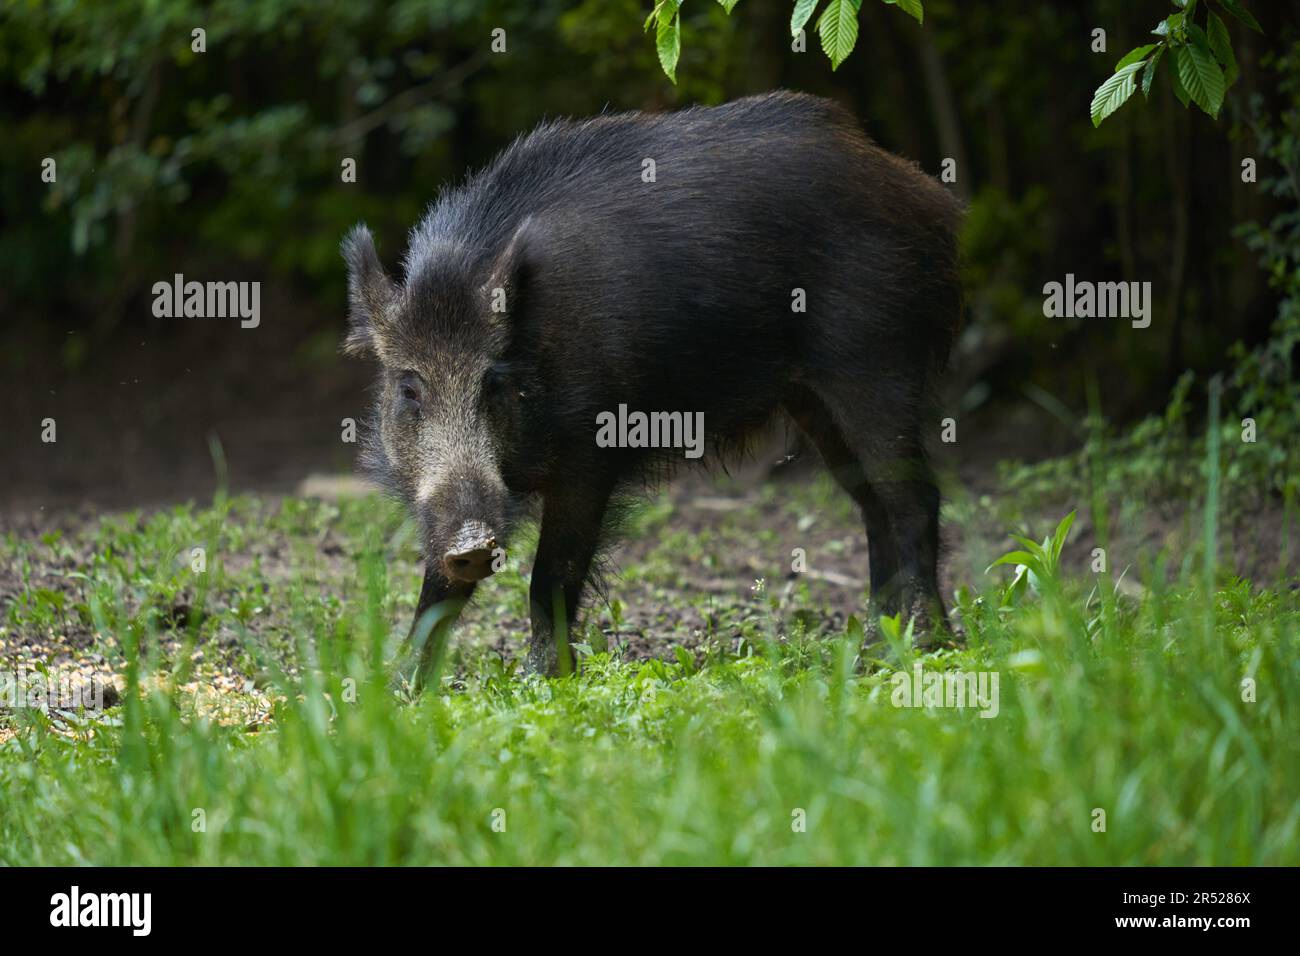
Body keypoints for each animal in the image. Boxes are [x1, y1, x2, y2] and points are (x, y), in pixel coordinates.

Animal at [341, 90, 963, 689]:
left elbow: (552, 576)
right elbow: (436, 592)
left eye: (493, 382)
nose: (471, 542)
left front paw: (544, 683)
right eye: (409, 388)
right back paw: (874, 648)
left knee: (913, 498)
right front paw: (399, 689)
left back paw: (925, 646)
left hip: (876, 363)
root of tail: (931, 201)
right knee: (872, 506)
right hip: (815, 403)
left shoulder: (591, 453)